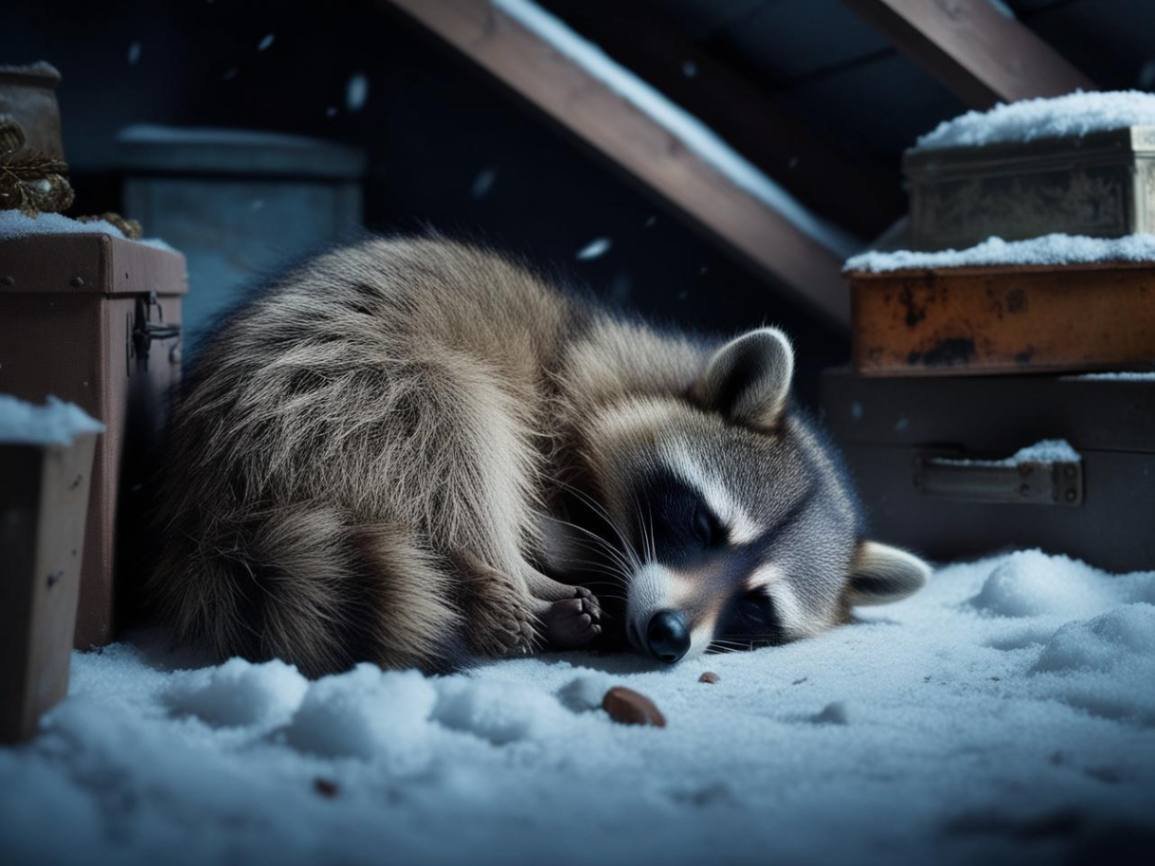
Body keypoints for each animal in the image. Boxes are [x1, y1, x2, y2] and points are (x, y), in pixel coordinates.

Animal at [150, 236, 928, 676]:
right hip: (338, 388)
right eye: (703, 525)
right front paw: (554, 546)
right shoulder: (558, 395)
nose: (670, 634)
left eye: (757, 605)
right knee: (459, 433)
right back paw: (518, 586)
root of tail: (201, 512)